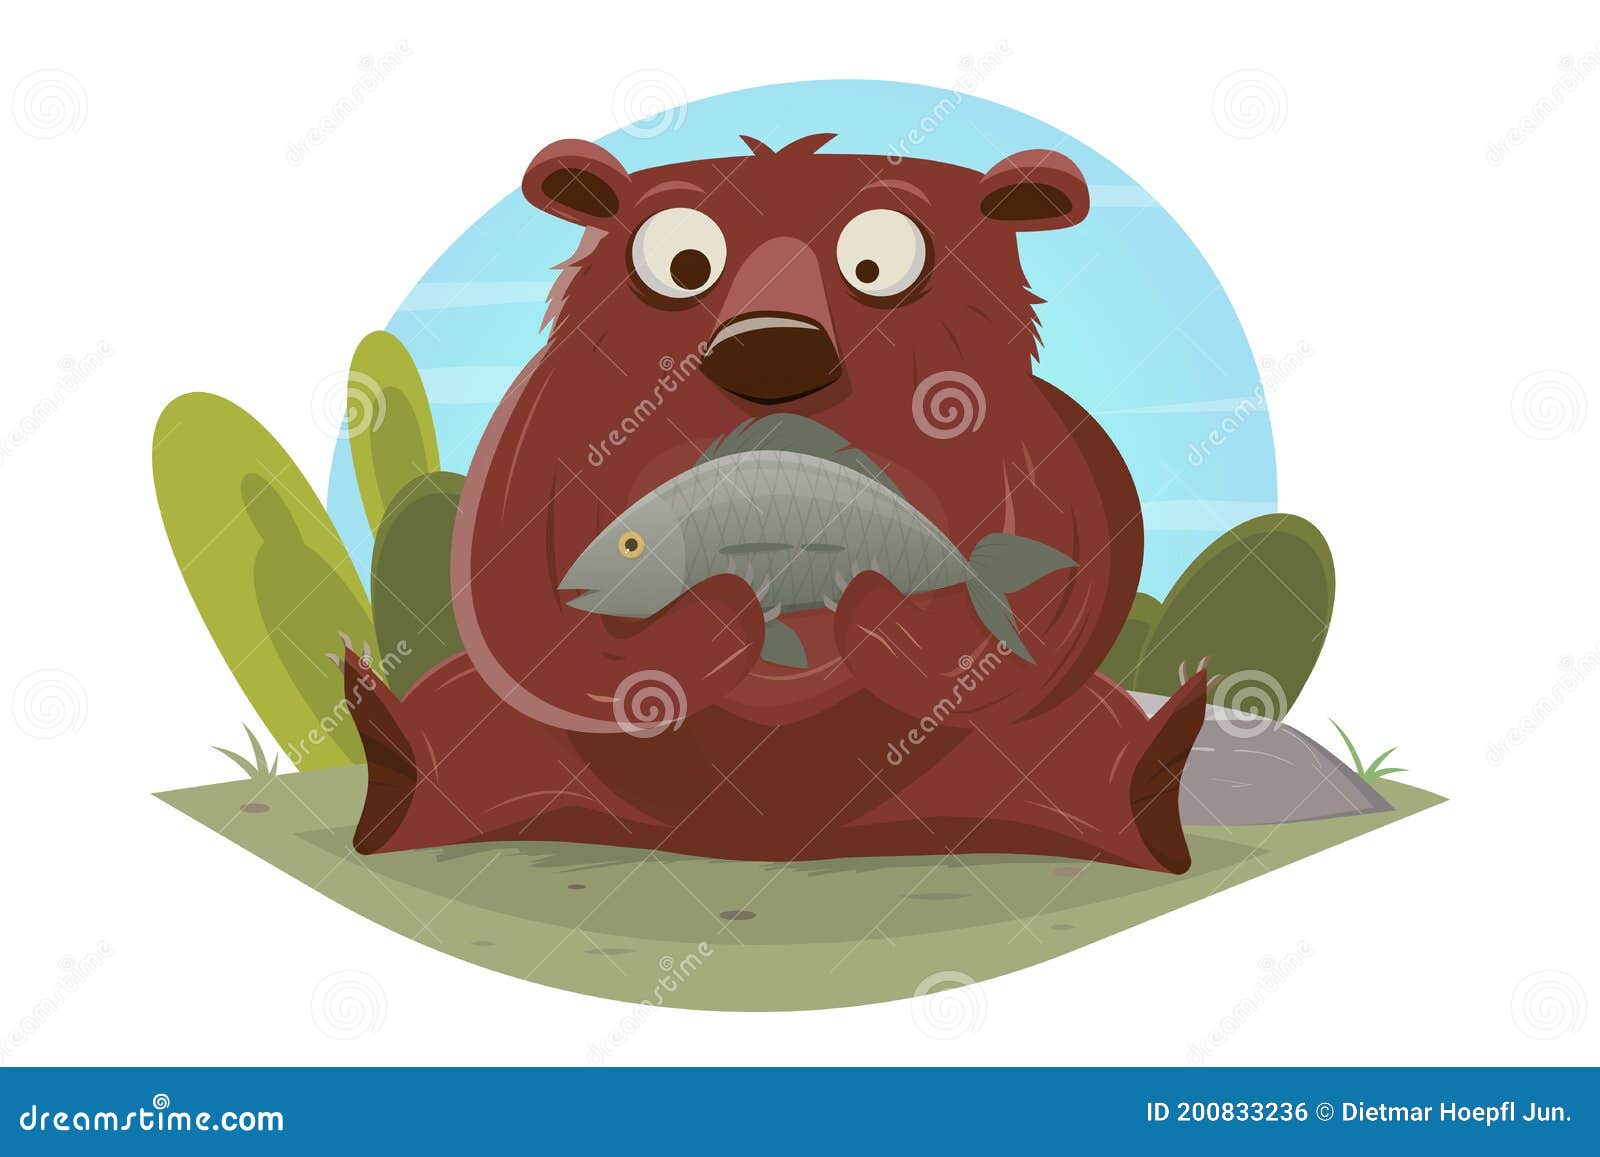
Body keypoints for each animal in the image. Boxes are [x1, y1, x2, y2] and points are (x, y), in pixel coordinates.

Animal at [342, 132, 1209, 872]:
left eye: (878, 263)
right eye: (682, 262)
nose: (771, 344)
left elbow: (1075, 577)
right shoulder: (536, 439)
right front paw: (715, 625)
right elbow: (516, 610)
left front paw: (874, 617)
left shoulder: (1051, 446)